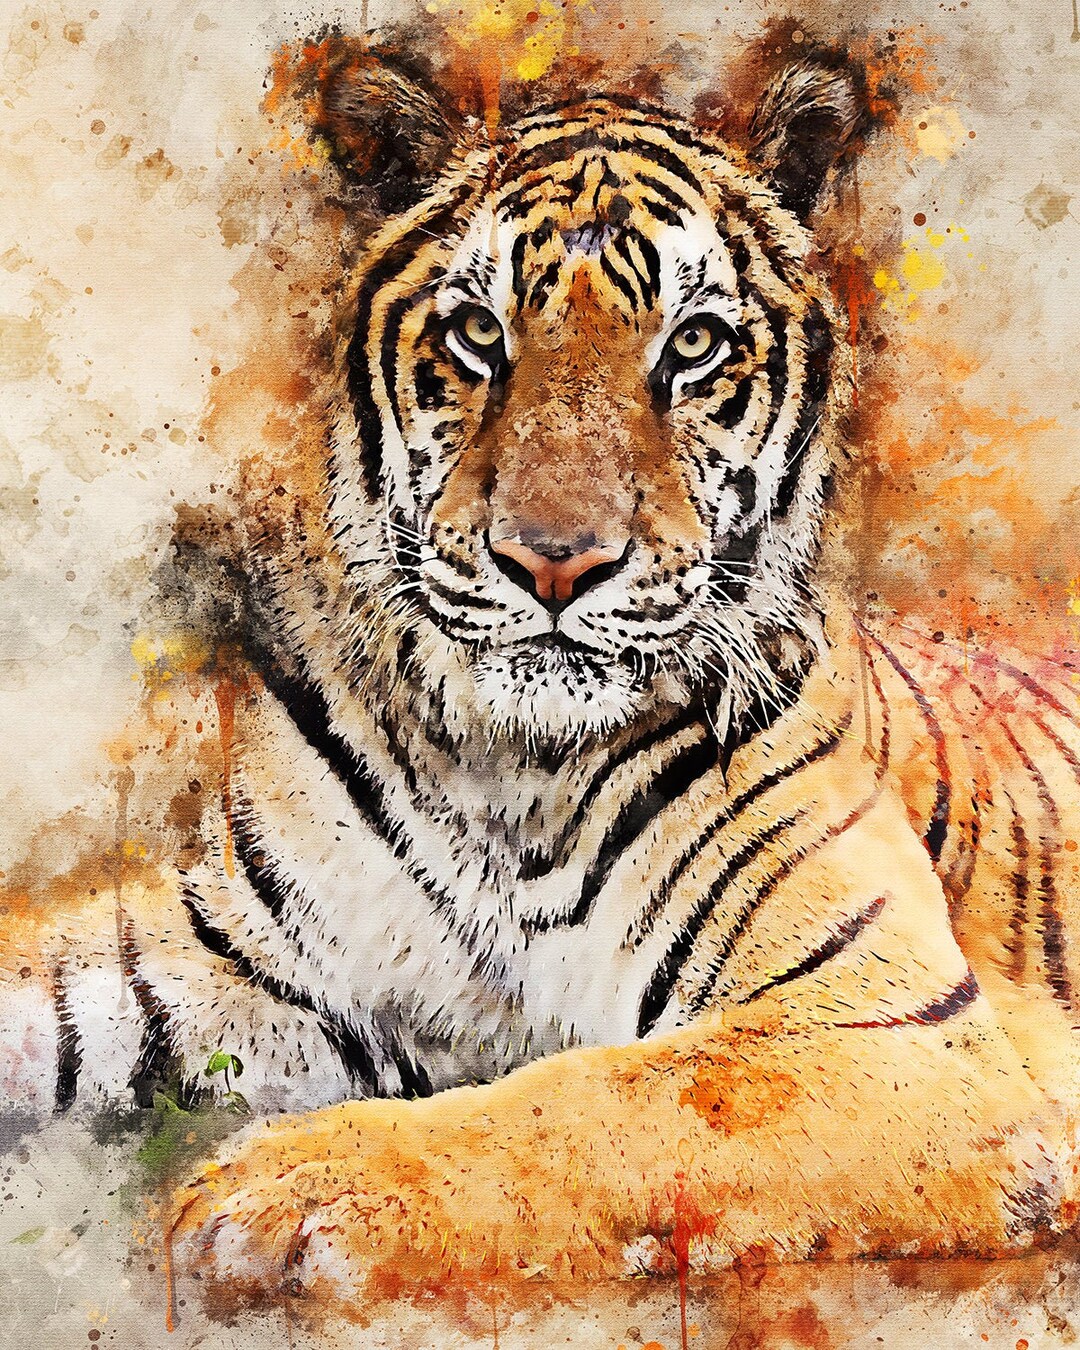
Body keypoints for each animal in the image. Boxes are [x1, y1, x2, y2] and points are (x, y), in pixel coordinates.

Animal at [3, 31, 1080, 1311]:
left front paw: (285, 1185)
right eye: (479, 333)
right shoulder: (233, 933)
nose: (553, 562)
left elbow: (608, 1095)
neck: (502, 771)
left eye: (694, 344)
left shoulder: (892, 1022)